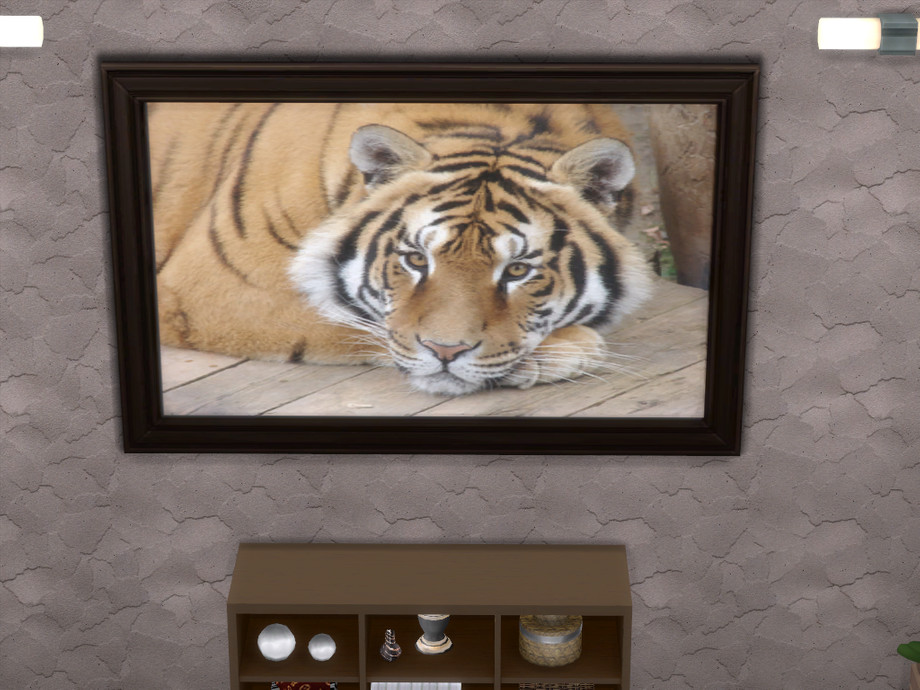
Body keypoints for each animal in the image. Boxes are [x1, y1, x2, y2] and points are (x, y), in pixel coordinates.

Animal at [148, 102, 653, 396]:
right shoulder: (214, 284)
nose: (446, 352)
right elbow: (359, 321)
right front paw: (570, 346)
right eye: (415, 260)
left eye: (516, 271)